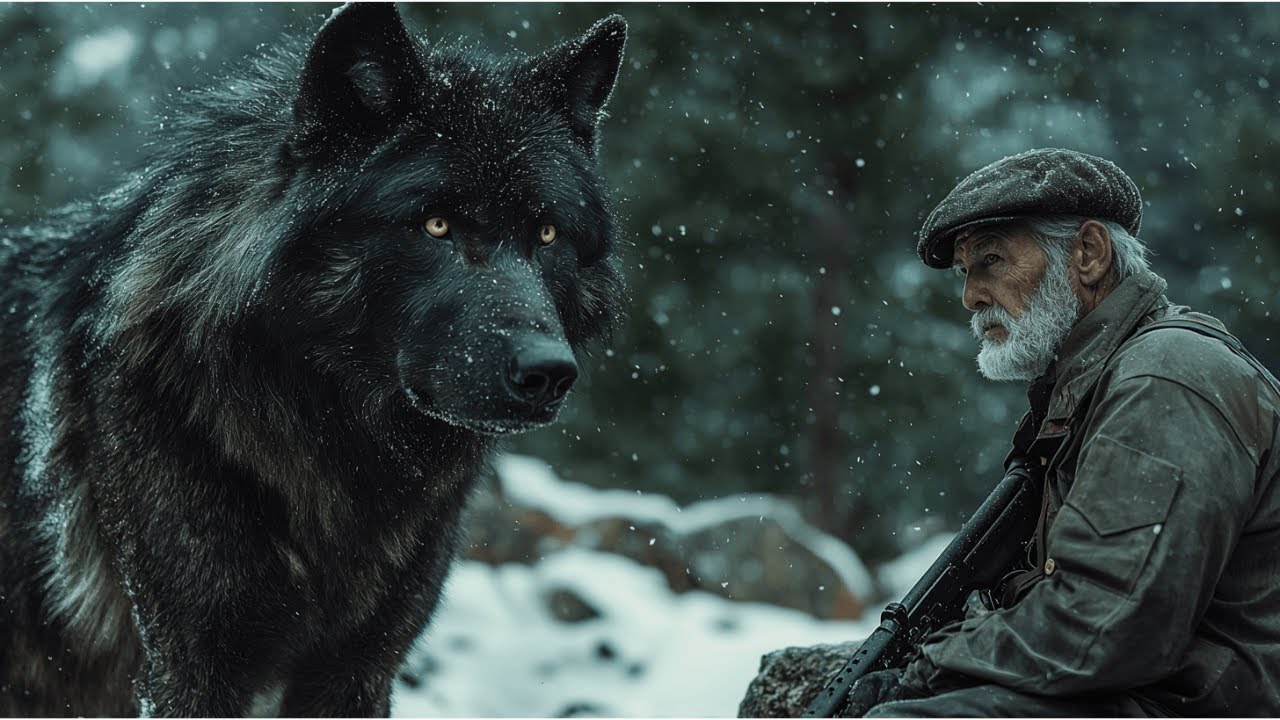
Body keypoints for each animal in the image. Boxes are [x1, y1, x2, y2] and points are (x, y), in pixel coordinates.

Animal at [0, 3, 626, 715]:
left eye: (546, 233)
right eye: (436, 225)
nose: (549, 372)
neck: (332, 441)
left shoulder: (361, 667)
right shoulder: (187, 668)